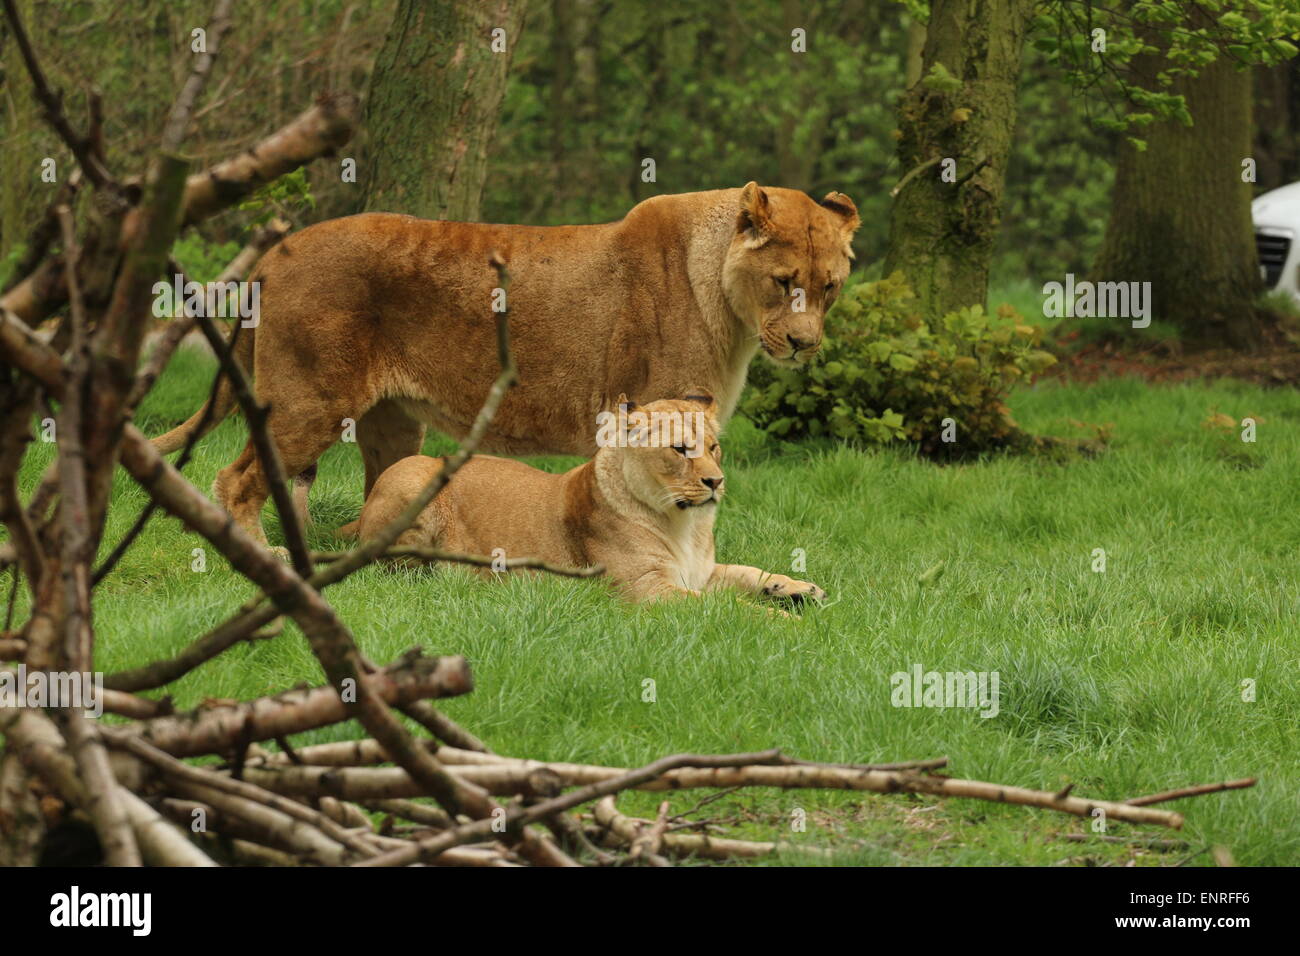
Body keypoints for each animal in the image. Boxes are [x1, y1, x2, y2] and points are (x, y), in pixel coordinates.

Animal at [151, 183, 860, 544]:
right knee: (238, 481)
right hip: (309, 400)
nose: (805, 344)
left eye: (829, 287)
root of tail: (277, 253)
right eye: (783, 281)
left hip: (389, 423)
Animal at [356, 391, 827, 605]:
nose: (717, 481)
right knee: (393, 567)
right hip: (410, 477)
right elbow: (727, 610)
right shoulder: (646, 589)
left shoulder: (700, 573)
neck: (686, 525)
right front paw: (782, 621)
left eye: (714, 448)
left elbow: (749, 572)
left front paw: (798, 588)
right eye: (679, 449)